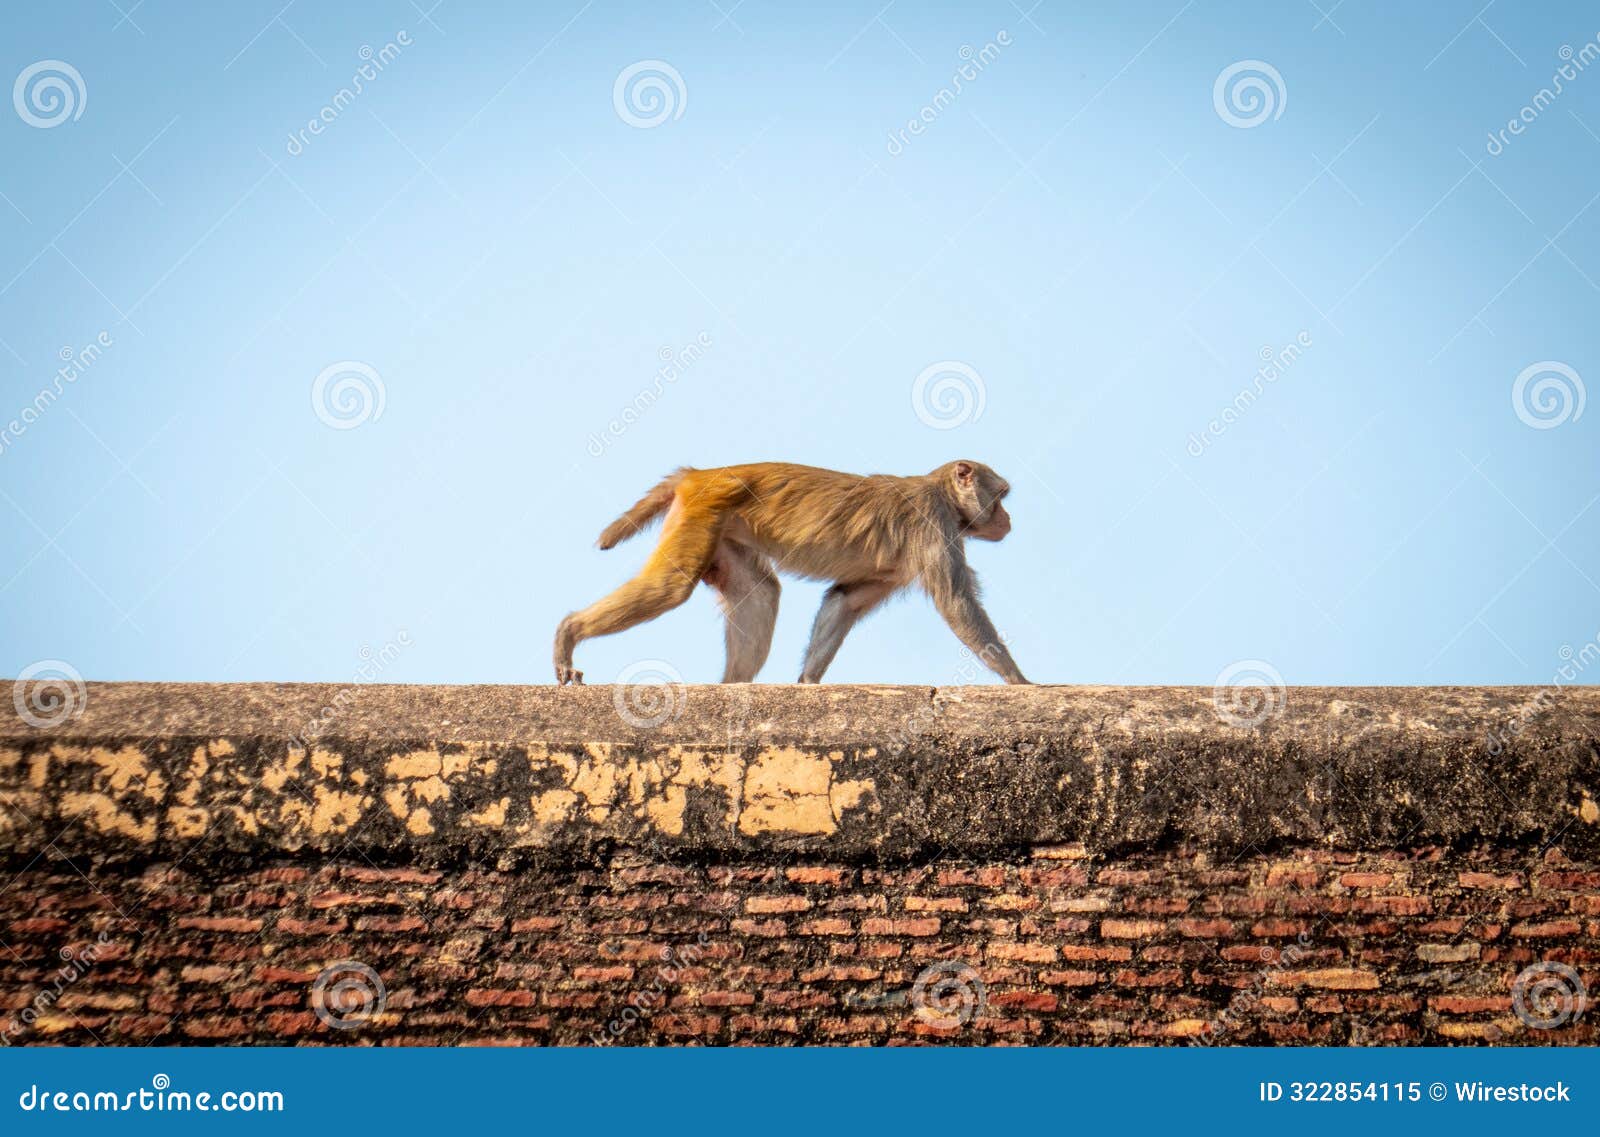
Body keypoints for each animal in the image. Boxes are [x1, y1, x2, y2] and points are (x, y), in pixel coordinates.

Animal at [552, 460, 1029, 686]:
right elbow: (956, 603)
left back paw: (734, 685)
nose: (1008, 520)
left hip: (721, 526)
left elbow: (844, 601)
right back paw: (569, 632)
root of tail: (699, 475)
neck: (942, 494)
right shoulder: (935, 527)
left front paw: (807, 681)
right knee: (670, 587)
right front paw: (1018, 681)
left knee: (761, 592)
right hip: (704, 510)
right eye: (1002, 496)